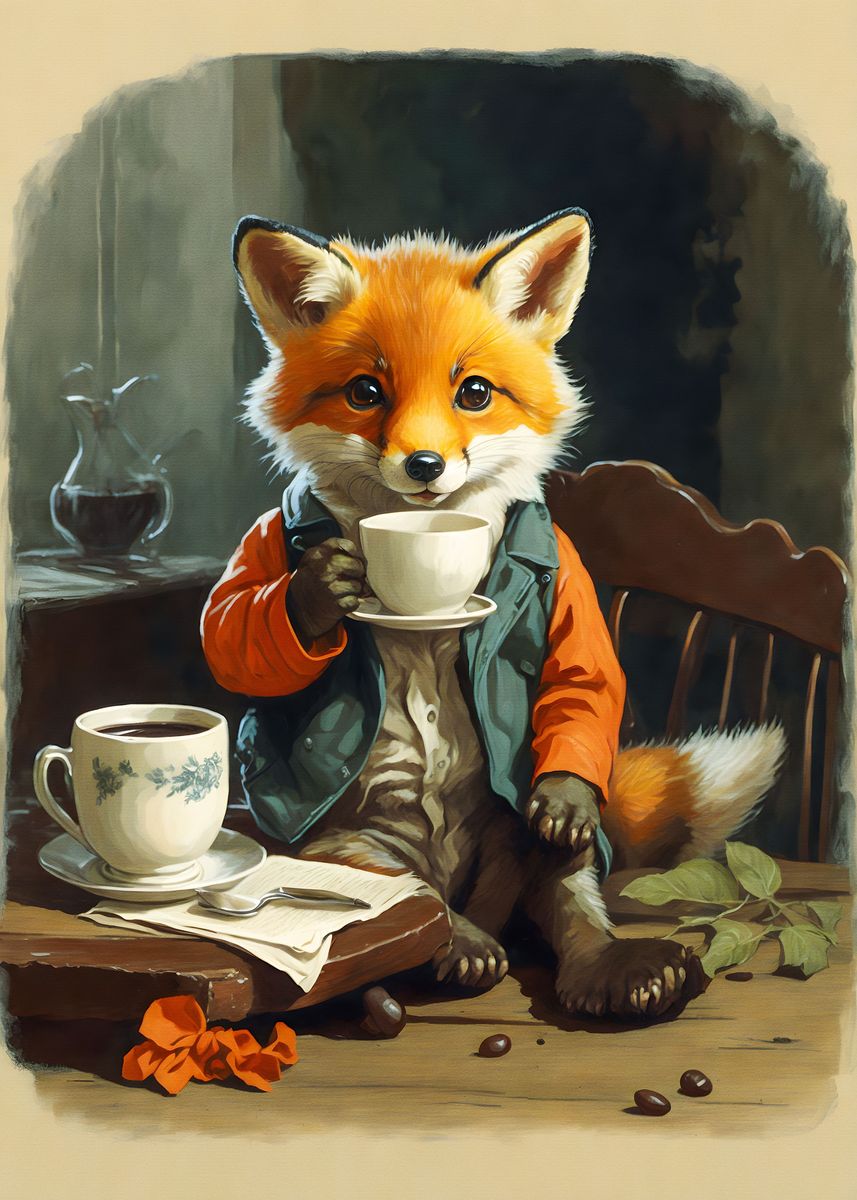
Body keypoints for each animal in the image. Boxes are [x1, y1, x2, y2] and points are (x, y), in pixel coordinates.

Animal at [201, 208, 785, 1020]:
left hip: (525, 835)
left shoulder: (566, 577)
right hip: (350, 849)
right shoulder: (263, 542)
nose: (424, 466)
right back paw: (458, 947)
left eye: (473, 392)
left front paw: (567, 791)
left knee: (563, 887)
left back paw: (613, 970)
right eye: (364, 391)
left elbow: (584, 675)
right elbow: (230, 635)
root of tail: (457, 883)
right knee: (411, 903)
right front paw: (316, 592)